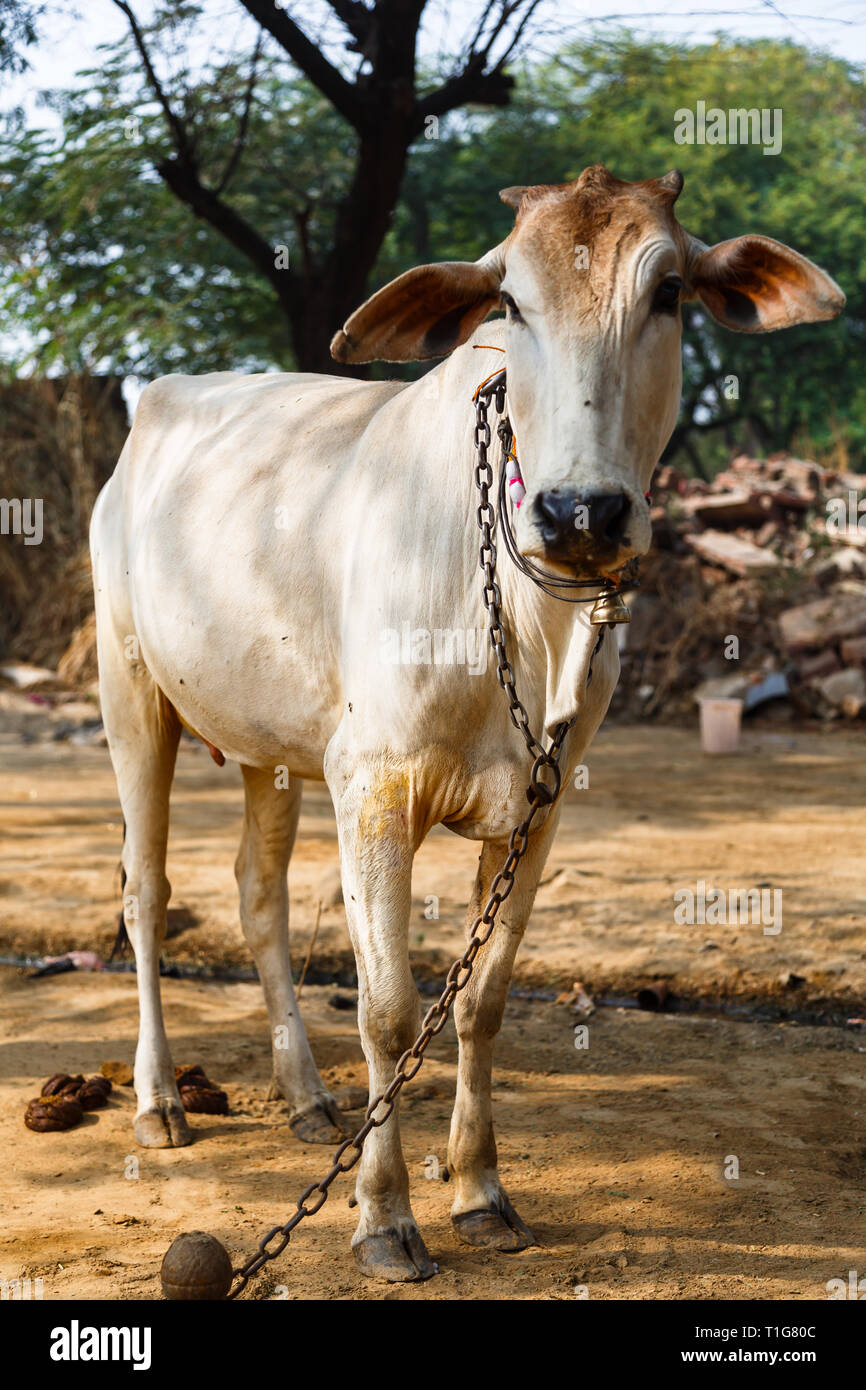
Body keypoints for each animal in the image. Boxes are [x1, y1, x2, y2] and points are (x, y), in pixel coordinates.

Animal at [90, 165, 844, 1284]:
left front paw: (481, 1191)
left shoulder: (540, 804)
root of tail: (158, 404)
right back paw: (157, 1101)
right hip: (130, 689)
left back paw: (307, 1098)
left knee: (258, 898)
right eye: (510, 302)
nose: (581, 514)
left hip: (273, 751)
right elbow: (389, 1010)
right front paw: (382, 1216)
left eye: (668, 294)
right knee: (147, 894)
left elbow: (482, 1001)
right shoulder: (372, 784)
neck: (528, 624)